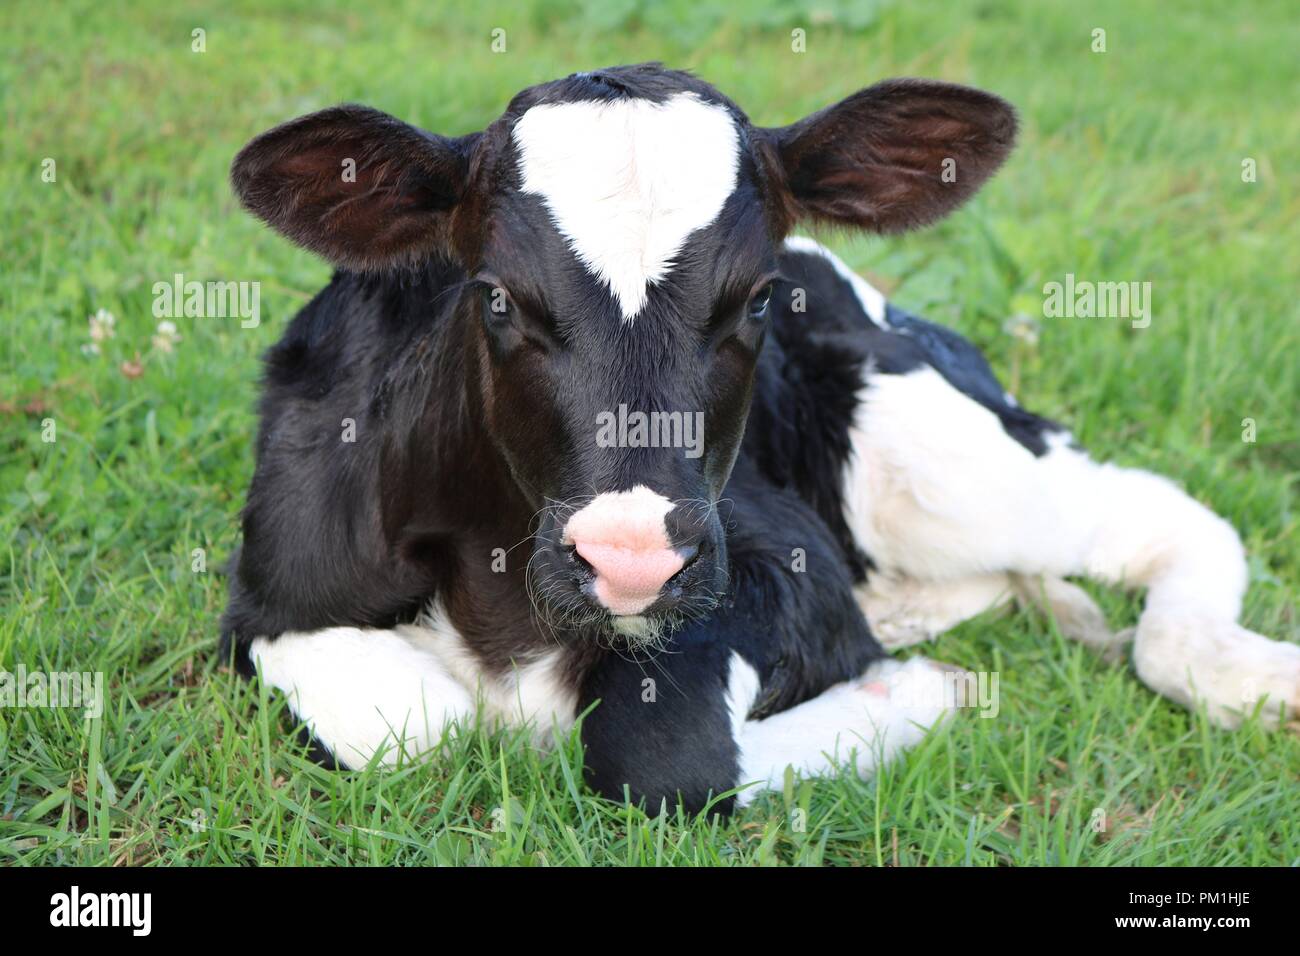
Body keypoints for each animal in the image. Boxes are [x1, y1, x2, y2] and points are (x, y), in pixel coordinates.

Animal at [221, 63, 1300, 814]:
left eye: (757, 299)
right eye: (494, 295)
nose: (632, 558)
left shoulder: (775, 568)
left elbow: (667, 755)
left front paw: (917, 688)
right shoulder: (268, 597)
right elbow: (411, 729)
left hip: (935, 464)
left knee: (1154, 515)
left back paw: (1248, 680)